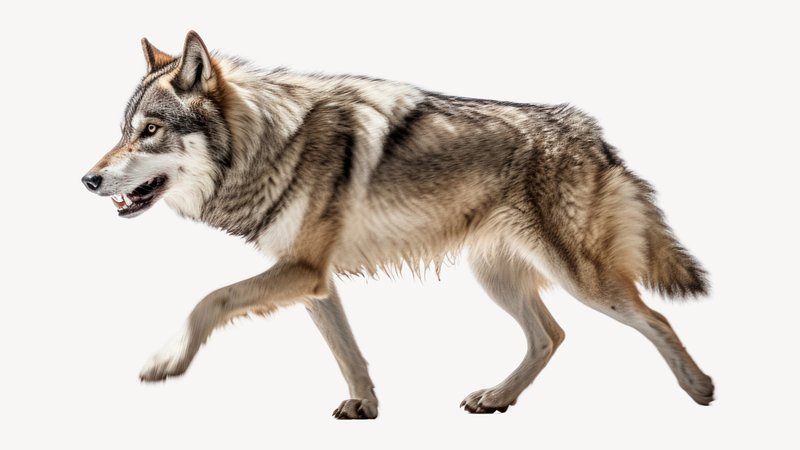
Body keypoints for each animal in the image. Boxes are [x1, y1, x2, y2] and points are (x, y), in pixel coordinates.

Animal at [82, 31, 714, 418]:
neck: (267, 144)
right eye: (122, 130)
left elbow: (208, 300)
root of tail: (592, 133)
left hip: (584, 280)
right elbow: (348, 351)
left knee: (654, 318)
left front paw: (166, 362)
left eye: (150, 131)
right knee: (551, 335)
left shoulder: (302, 270)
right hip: (495, 277)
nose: (87, 180)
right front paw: (366, 406)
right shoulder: (314, 280)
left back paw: (701, 388)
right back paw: (496, 398)